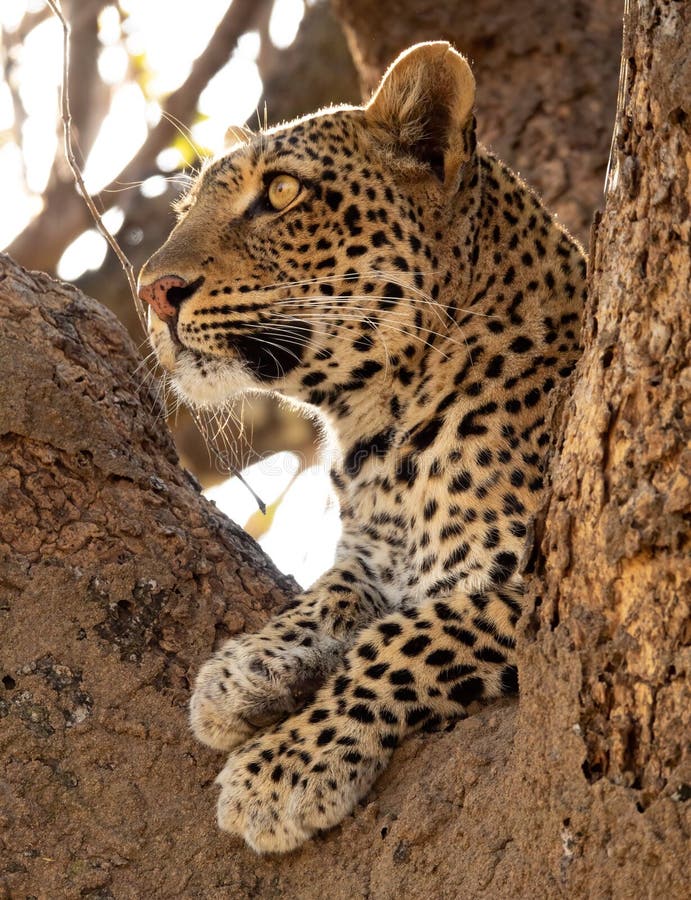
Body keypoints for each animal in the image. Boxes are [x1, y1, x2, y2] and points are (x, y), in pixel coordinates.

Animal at [138, 41, 586, 854]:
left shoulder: (546, 590)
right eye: (186, 212)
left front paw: (283, 770)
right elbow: (339, 588)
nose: (153, 292)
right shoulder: (373, 548)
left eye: (282, 192)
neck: (382, 435)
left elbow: (410, 634)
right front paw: (246, 671)